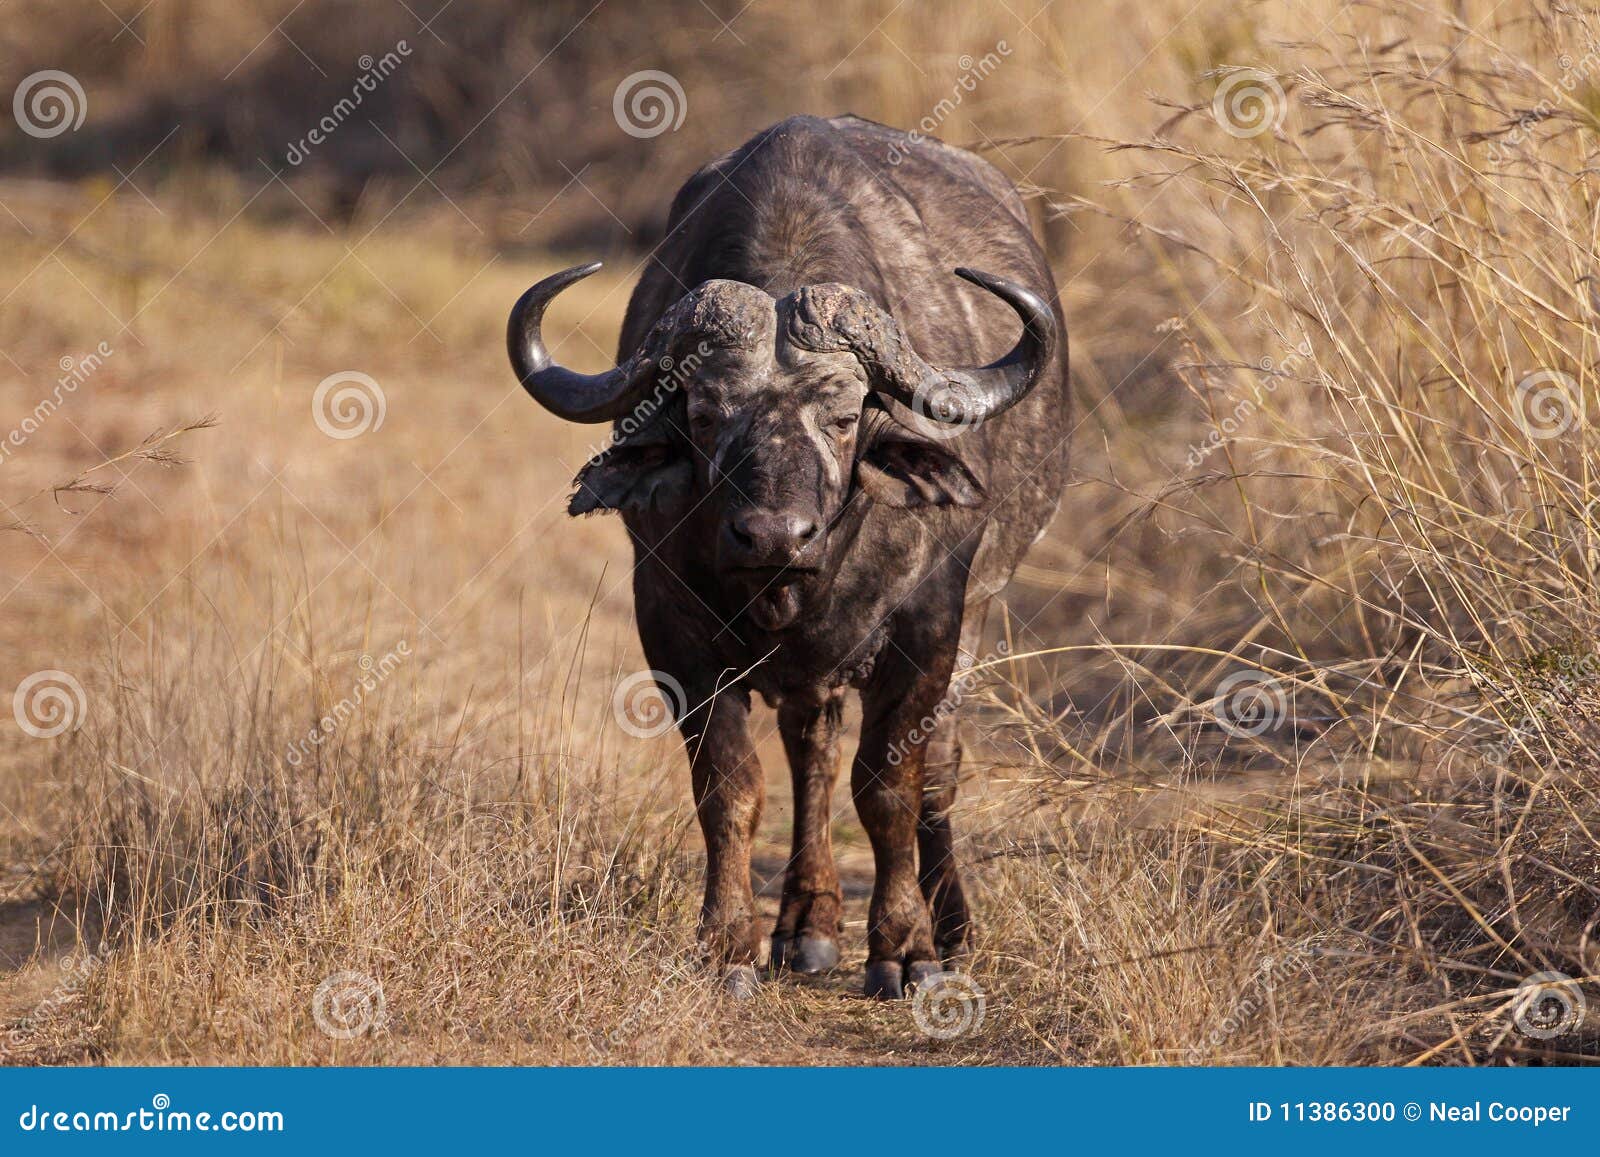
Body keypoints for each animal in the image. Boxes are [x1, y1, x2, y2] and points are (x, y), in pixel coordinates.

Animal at [509, 115, 1068, 998]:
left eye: (844, 414)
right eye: (704, 412)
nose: (774, 535)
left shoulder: (929, 626)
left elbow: (890, 787)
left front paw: (906, 949)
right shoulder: (671, 629)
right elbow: (731, 786)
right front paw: (728, 944)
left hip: (978, 615)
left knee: (935, 770)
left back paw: (950, 925)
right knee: (812, 751)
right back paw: (806, 925)